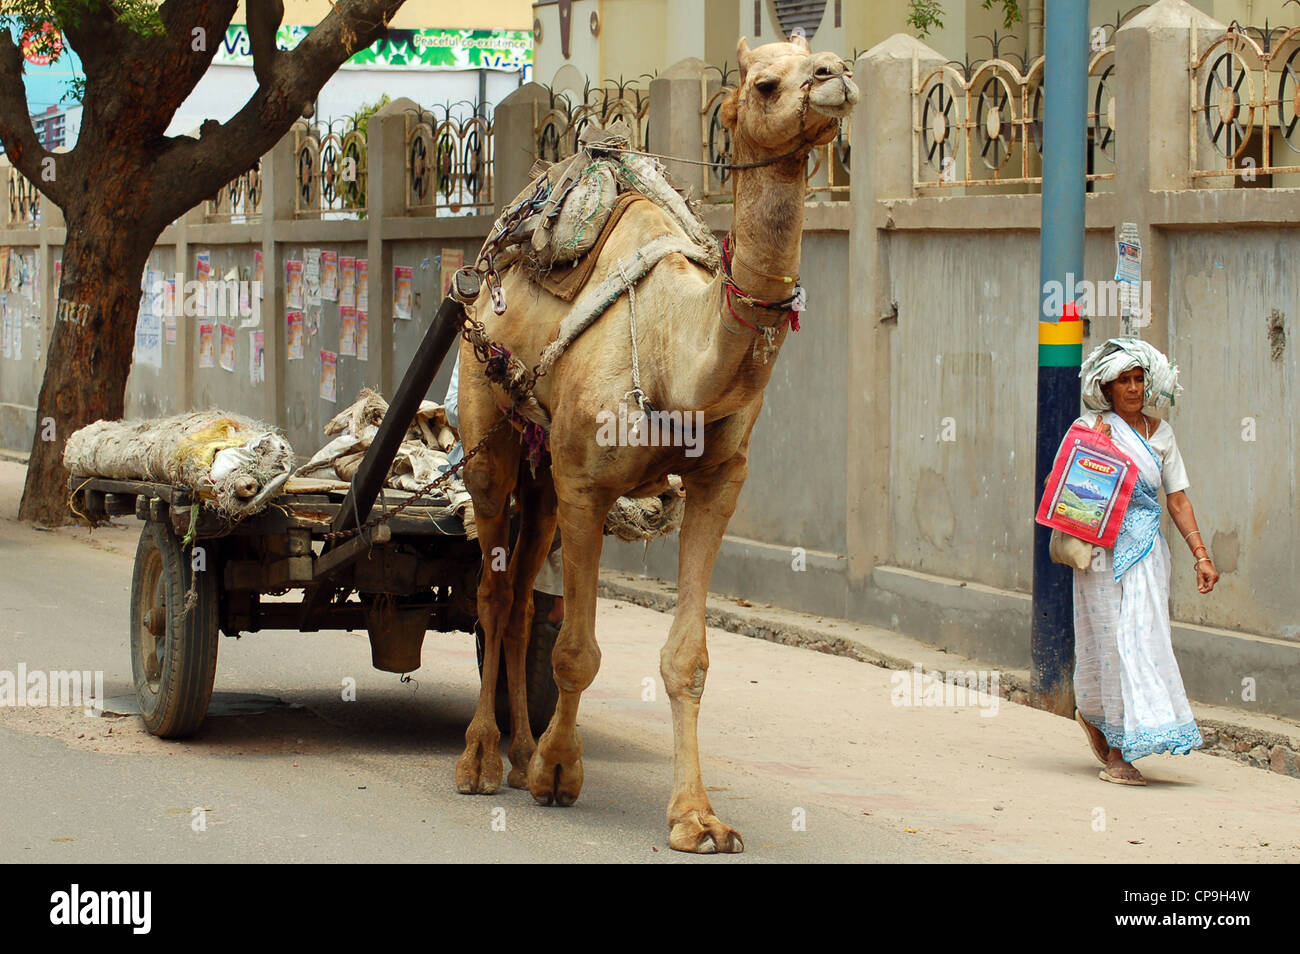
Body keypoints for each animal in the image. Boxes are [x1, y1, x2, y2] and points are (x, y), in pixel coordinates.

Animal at [453, 35, 858, 853]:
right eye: (765, 84)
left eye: (824, 57)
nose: (835, 76)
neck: (681, 356)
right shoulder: (587, 484)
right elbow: (577, 650)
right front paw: (560, 772)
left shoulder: (718, 483)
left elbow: (687, 658)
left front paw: (697, 818)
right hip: (489, 426)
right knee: (491, 587)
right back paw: (481, 759)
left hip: (543, 470)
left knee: (521, 595)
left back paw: (517, 749)